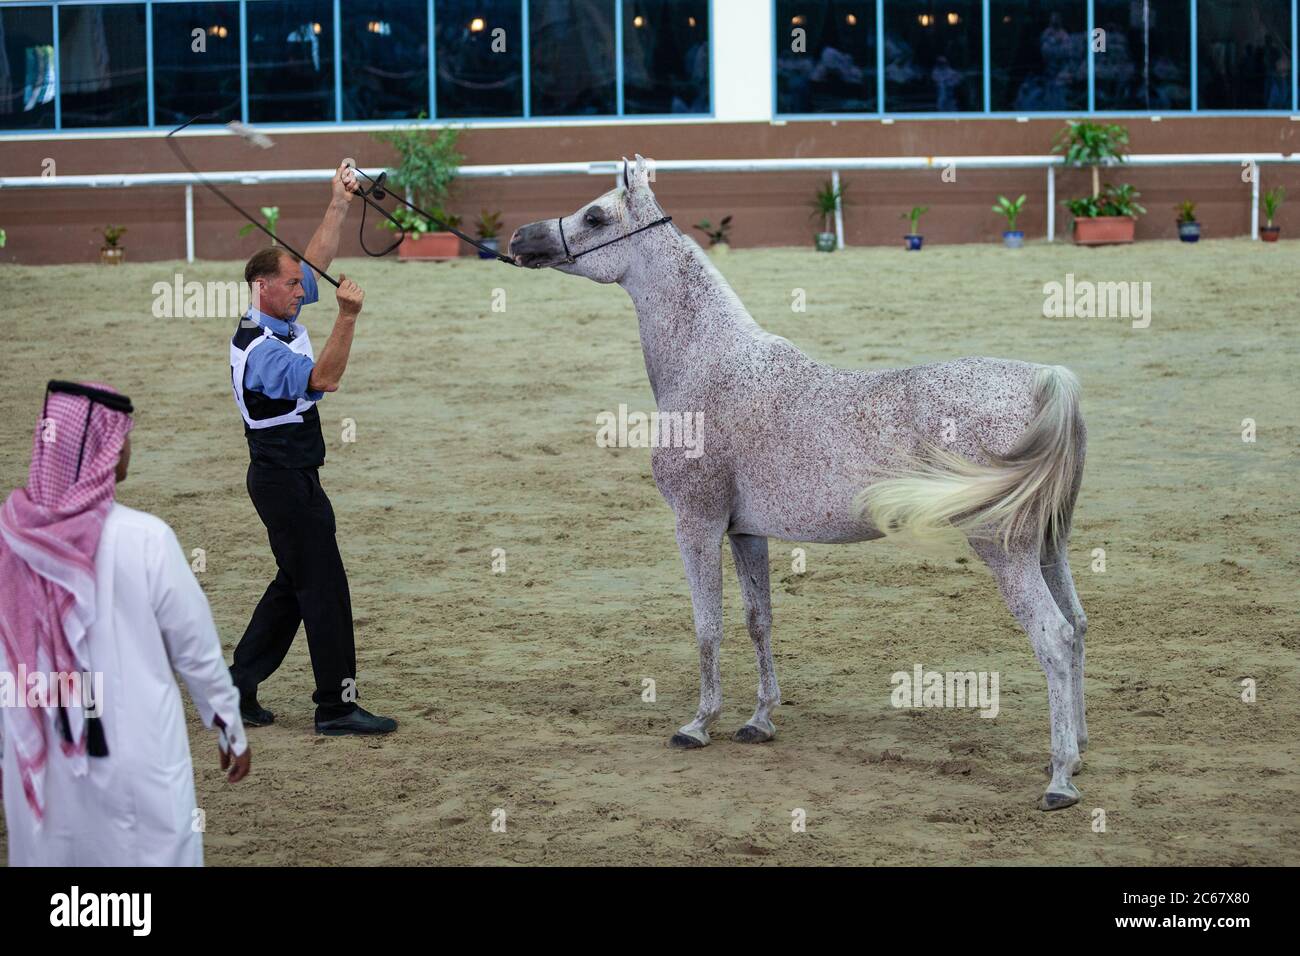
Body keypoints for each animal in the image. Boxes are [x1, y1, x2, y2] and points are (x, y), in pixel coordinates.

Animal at [508, 156, 1089, 811]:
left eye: (595, 216)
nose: (520, 239)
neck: (710, 363)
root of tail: (1046, 380)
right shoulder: (744, 532)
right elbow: (757, 619)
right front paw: (759, 720)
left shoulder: (696, 523)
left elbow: (707, 626)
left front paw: (697, 724)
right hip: (1049, 544)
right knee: (1078, 626)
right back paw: (1080, 746)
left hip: (1004, 550)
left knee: (1054, 637)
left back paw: (1060, 777)